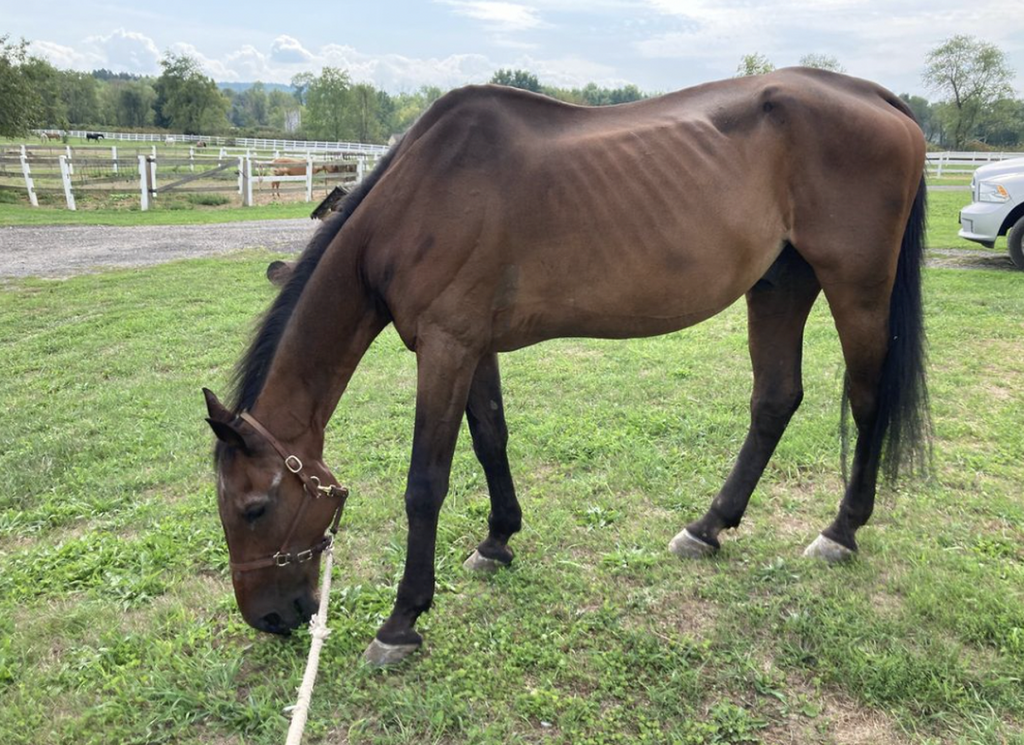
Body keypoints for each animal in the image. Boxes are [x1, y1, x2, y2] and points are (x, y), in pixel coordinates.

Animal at [204, 68, 929, 666]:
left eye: (254, 507)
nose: (270, 618)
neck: (419, 197)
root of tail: (876, 96)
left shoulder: (446, 347)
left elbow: (425, 484)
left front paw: (402, 620)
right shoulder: (472, 346)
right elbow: (491, 438)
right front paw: (498, 540)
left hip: (857, 287)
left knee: (865, 399)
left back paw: (840, 531)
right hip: (781, 283)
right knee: (775, 399)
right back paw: (707, 528)